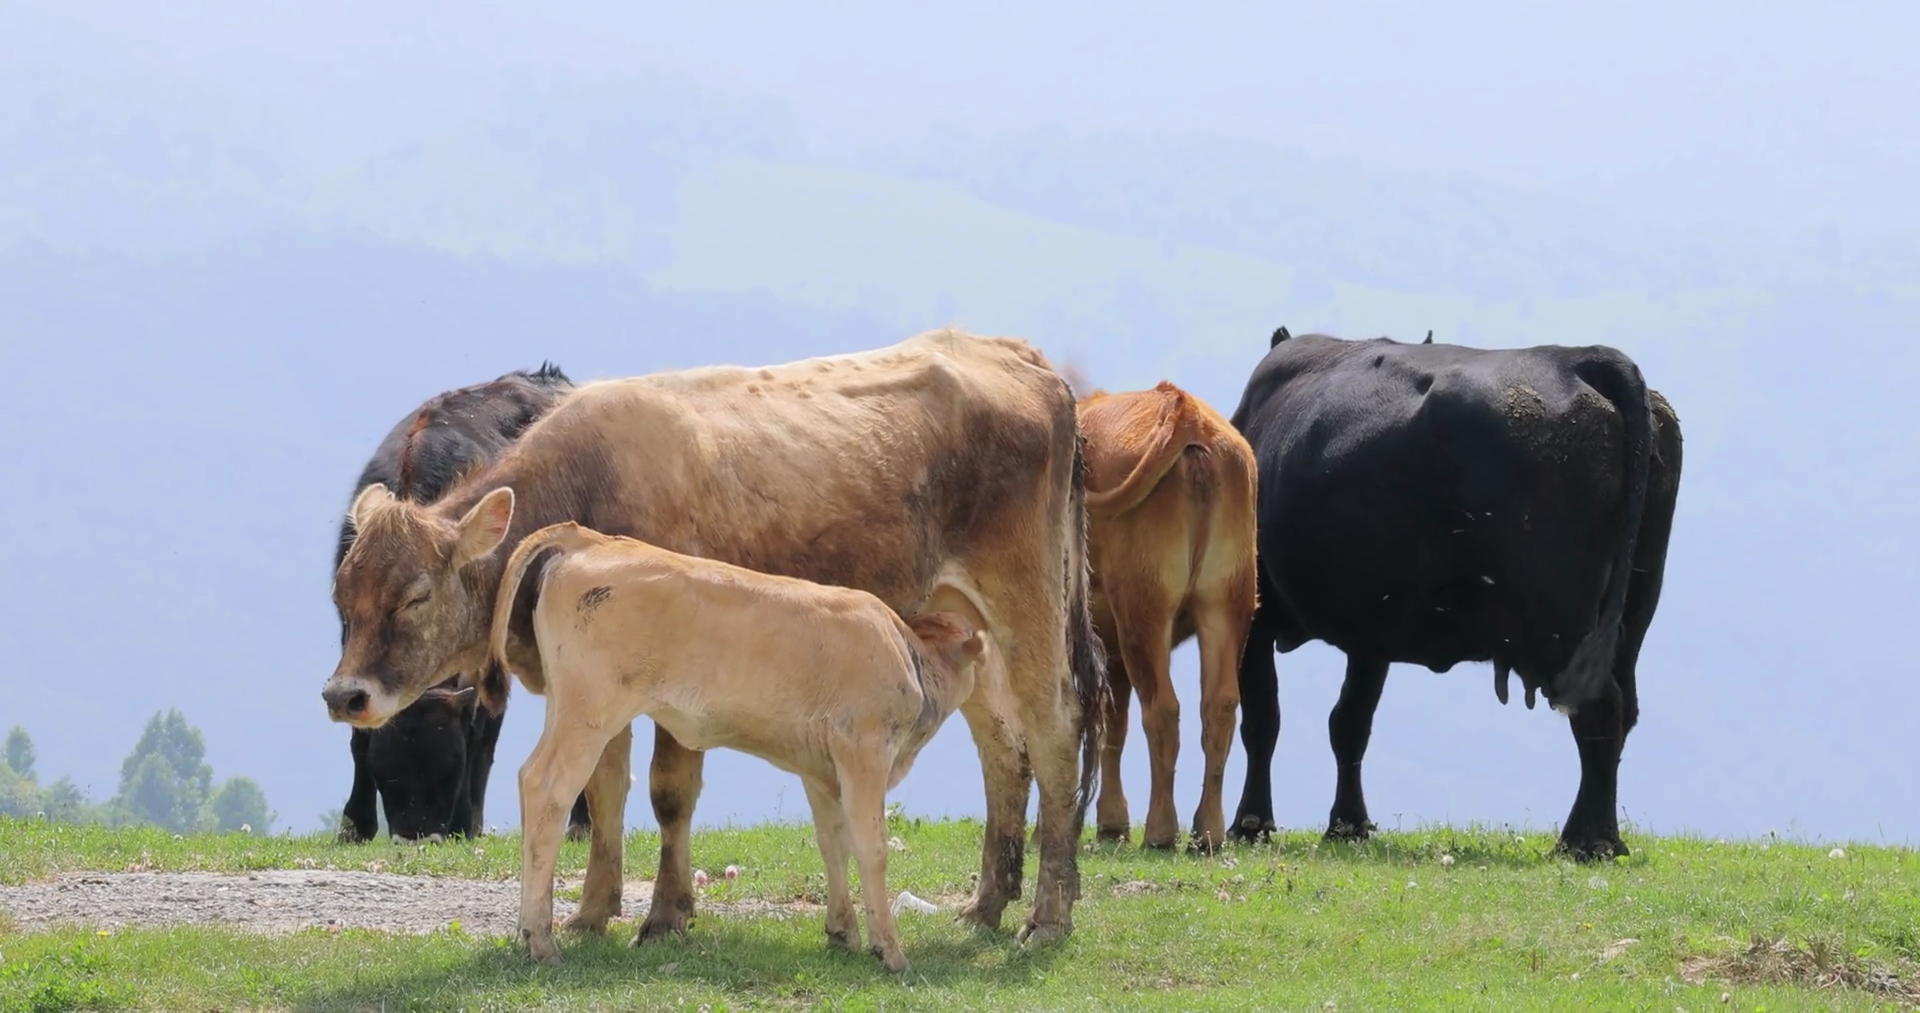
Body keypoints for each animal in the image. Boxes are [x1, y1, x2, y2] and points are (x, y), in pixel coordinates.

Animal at [332, 362, 591, 843]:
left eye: (449, 768)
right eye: (385, 770)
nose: (418, 836)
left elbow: (483, 733)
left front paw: (467, 822)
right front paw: (354, 823)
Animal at [489, 521, 989, 972]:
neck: (909, 656)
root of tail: (591, 539)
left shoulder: (820, 769)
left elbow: (833, 843)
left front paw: (842, 933)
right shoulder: (864, 751)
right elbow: (872, 847)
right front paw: (889, 950)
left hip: (564, 708)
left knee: (528, 780)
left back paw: (527, 933)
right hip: (589, 714)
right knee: (547, 788)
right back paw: (541, 941)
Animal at [1076, 381, 1259, 854]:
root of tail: (1187, 411)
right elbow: (1113, 726)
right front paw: (1112, 823)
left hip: (1144, 606)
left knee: (1162, 708)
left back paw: (1161, 831)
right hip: (1227, 601)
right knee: (1219, 705)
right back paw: (1207, 831)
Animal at [1227, 327, 1682, 861]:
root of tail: (1580, 359)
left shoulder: (1255, 613)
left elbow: (1262, 720)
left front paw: (1250, 824)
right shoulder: (1372, 629)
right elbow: (1350, 723)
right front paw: (1348, 825)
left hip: (1556, 618)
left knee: (1599, 709)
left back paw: (1590, 842)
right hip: (1633, 608)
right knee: (1622, 708)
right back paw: (1587, 835)